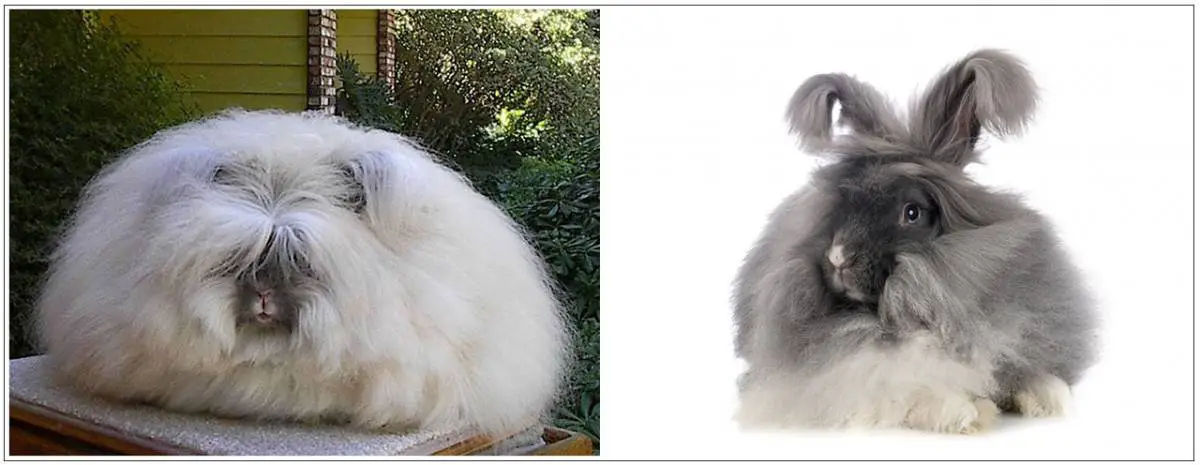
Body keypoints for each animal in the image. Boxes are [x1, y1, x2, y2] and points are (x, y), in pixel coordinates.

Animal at [732, 49, 1099, 434]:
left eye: (912, 212)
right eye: (843, 208)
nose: (838, 257)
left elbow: (1027, 370)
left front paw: (1052, 401)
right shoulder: (858, 379)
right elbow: (913, 388)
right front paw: (968, 414)